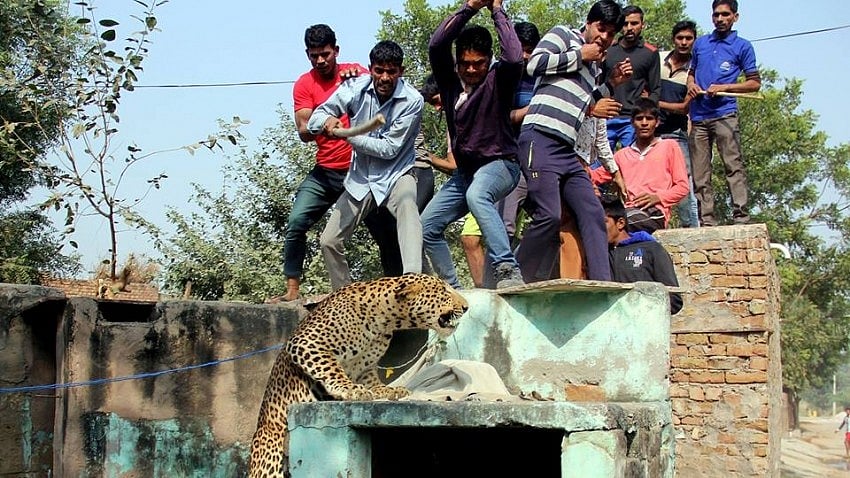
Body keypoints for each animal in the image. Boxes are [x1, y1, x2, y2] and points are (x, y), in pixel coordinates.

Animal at [248, 273, 469, 477]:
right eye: (443, 291)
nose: (466, 307)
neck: (386, 320)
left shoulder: (366, 366)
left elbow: (371, 380)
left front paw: (387, 390)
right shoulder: (307, 342)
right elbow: (330, 368)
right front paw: (351, 390)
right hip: (271, 451)